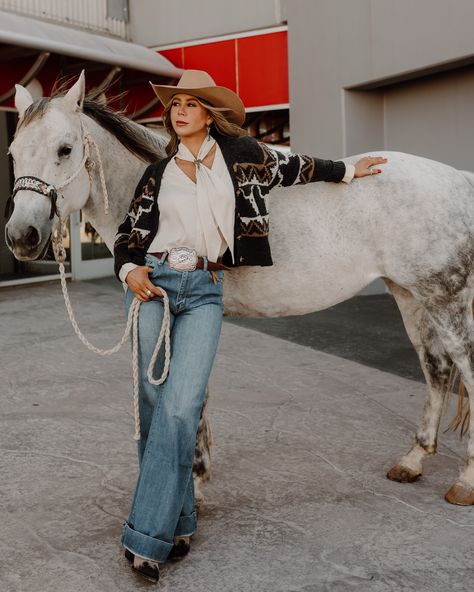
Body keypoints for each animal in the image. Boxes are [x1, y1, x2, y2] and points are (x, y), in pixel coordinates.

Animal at [6, 71, 474, 506]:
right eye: (13, 152)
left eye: (65, 149)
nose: (21, 236)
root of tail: (459, 179)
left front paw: (193, 482)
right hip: (410, 295)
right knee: (437, 370)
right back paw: (413, 460)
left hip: (445, 299)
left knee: (464, 368)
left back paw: (465, 481)